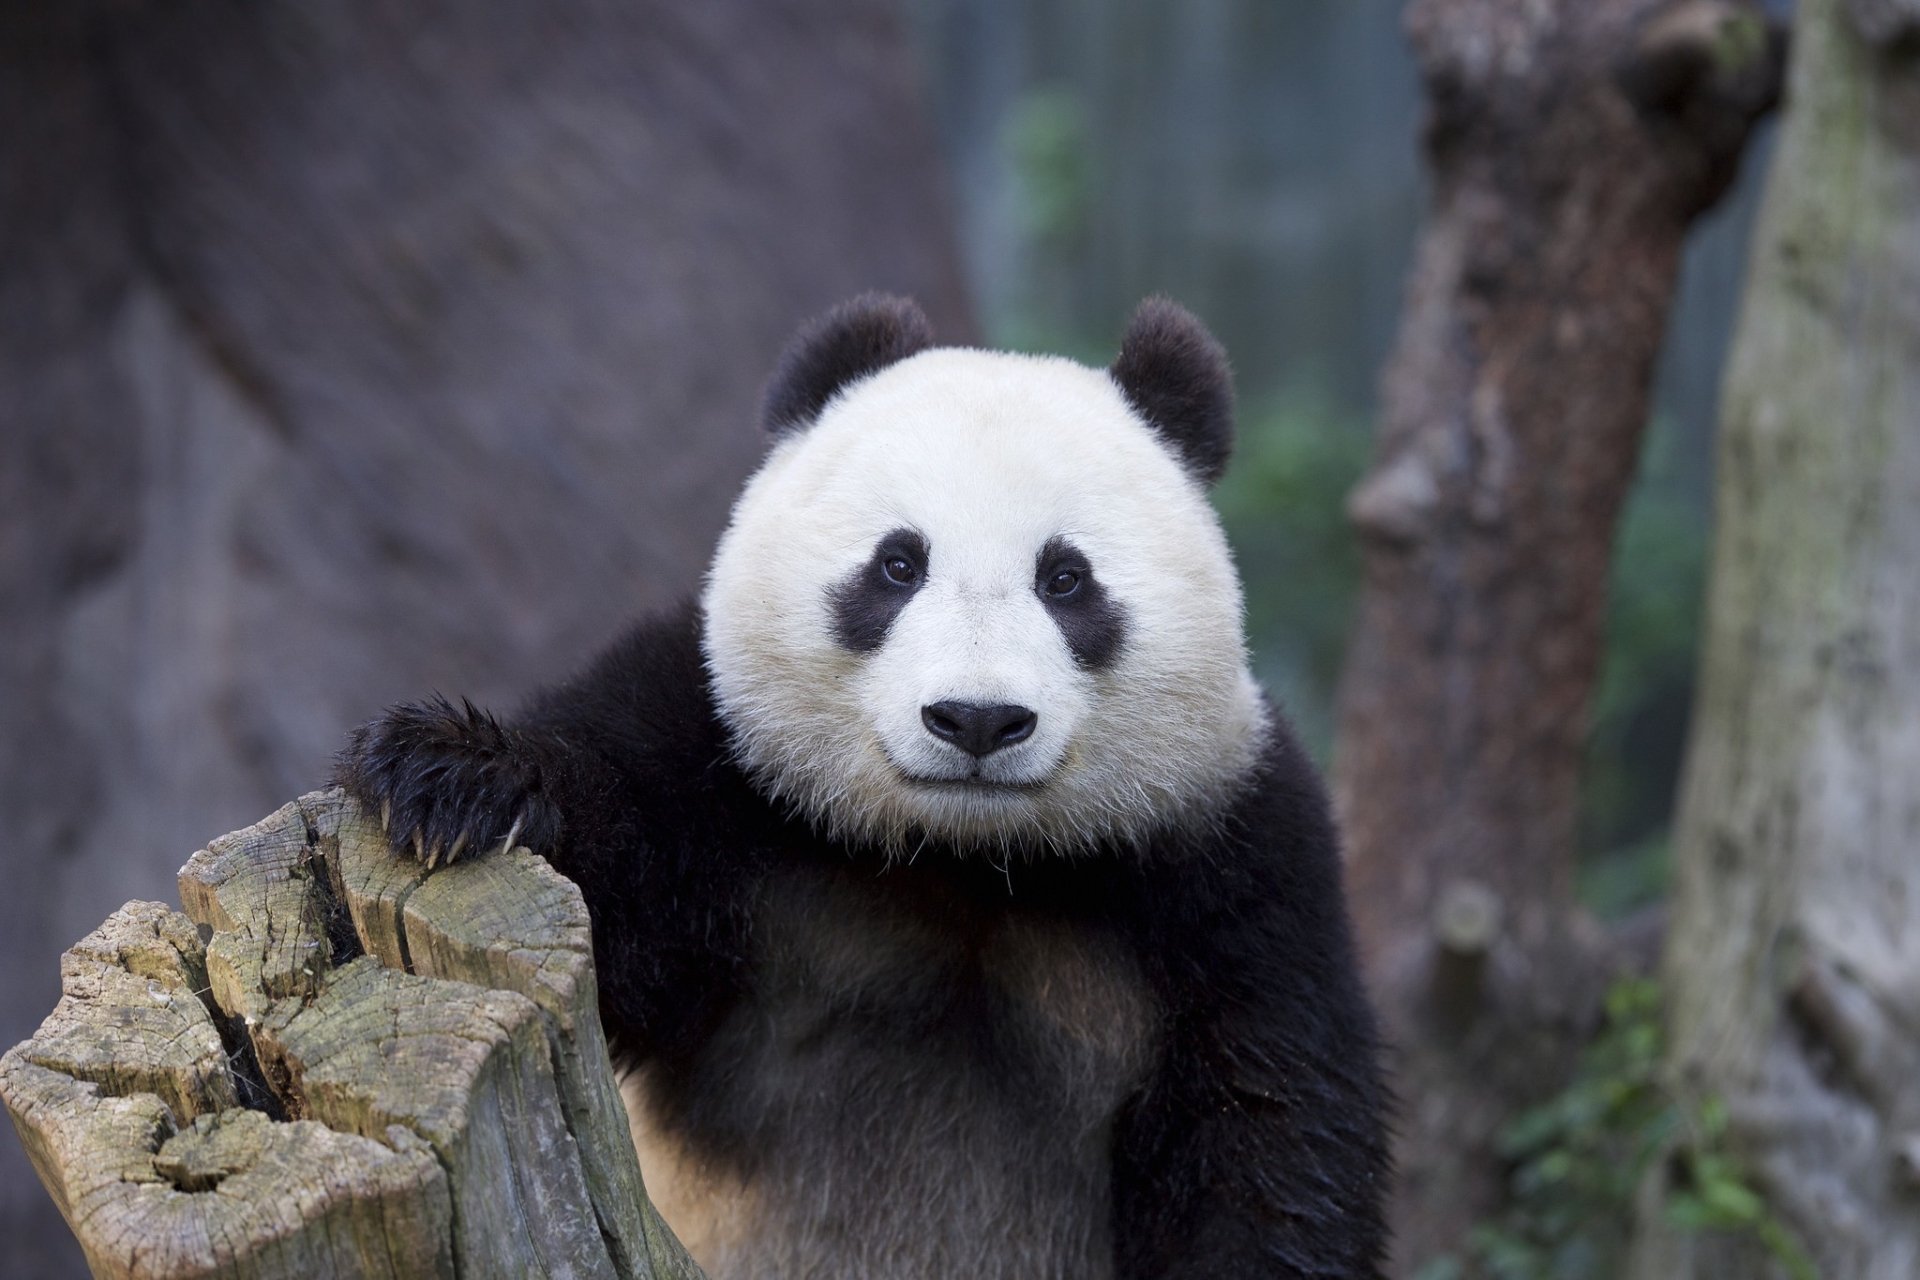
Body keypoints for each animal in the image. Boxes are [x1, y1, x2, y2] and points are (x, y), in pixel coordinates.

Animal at [336, 295, 1390, 1280]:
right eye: (897, 563)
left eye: (1066, 578)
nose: (976, 720)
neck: (965, 857)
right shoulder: (719, 761)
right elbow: (614, 876)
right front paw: (448, 777)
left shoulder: (1233, 866)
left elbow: (1268, 1134)